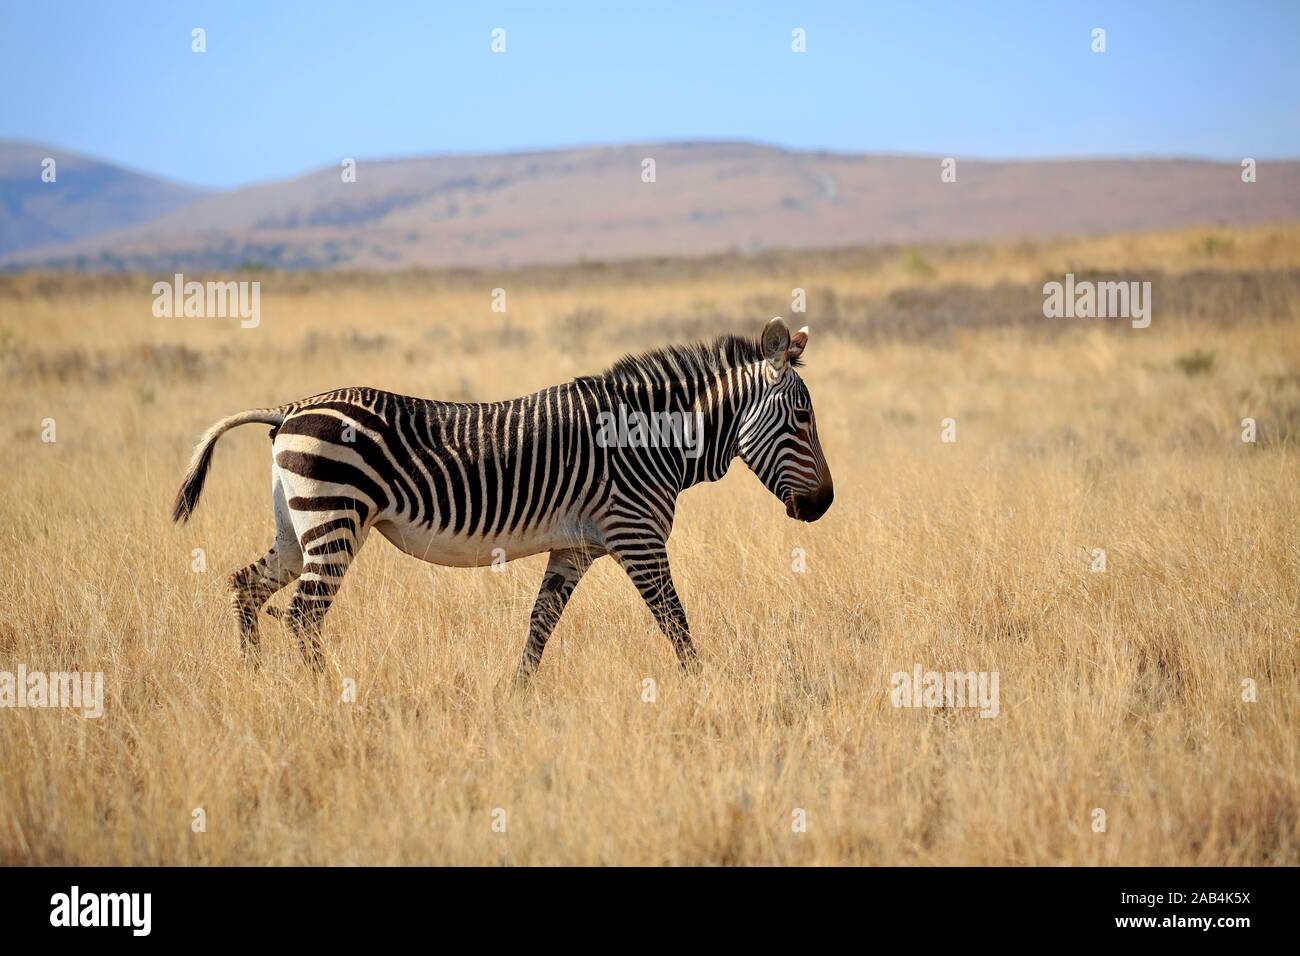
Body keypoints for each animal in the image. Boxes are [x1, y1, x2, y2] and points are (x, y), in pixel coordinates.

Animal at [171, 317, 833, 680]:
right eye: (802, 418)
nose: (824, 505)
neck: (650, 440)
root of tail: (288, 410)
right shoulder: (637, 536)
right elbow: (675, 622)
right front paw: (704, 687)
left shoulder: (575, 548)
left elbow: (540, 623)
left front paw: (517, 695)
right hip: (334, 520)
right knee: (304, 616)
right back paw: (326, 695)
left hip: (296, 527)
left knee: (245, 586)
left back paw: (256, 681)